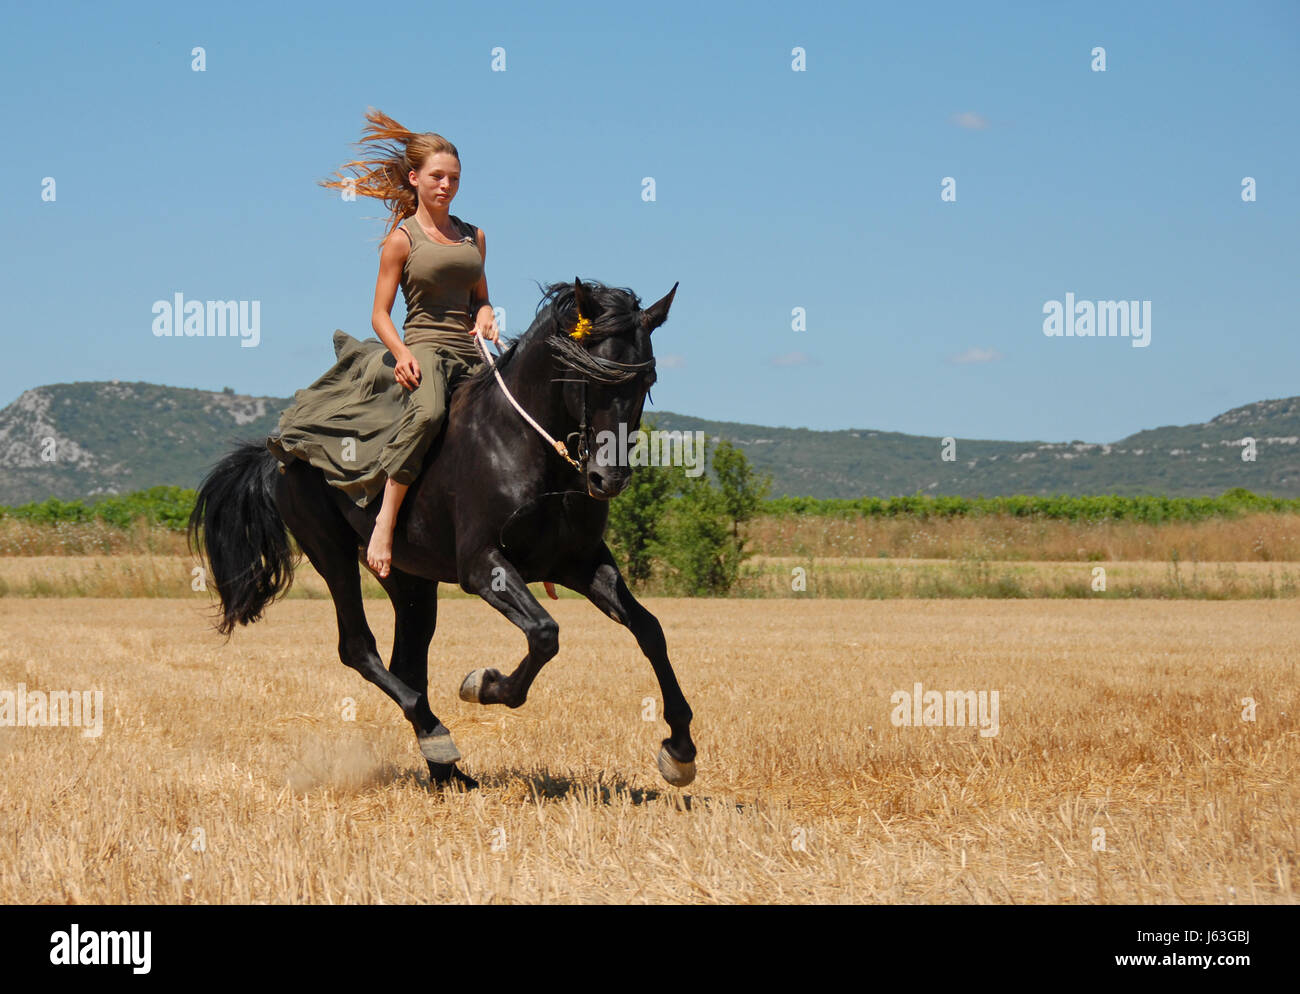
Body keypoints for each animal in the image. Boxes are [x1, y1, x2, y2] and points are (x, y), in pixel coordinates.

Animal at [188, 277, 696, 792]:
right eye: (586, 374)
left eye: (646, 382)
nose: (608, 479)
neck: (523, 445)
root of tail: (278, 451)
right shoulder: (483, 567)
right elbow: (544, 633)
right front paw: (484, 684)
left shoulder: (583, 562)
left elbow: (650, 630)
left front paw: (679, 750)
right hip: (331, 553)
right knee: (359, 648)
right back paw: (439, 739)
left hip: (411, 580)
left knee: (407, 664)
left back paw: (445, 770)